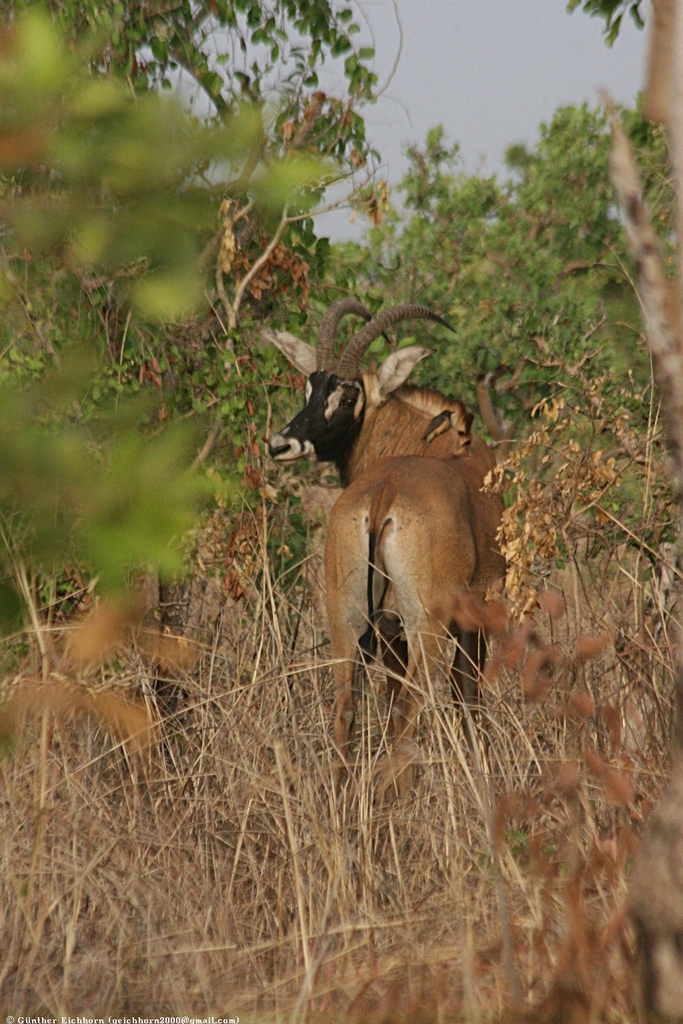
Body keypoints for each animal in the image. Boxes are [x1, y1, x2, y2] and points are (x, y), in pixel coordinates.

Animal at [266, 299, 504, 791]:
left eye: (346, 395)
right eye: (309, 388)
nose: (280, 443)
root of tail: (384, 496)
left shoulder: (389, 630)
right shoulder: (476, 610)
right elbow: (467, 694)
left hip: (346, 620)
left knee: (347, 714)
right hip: (425, 626)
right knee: (411, 716)